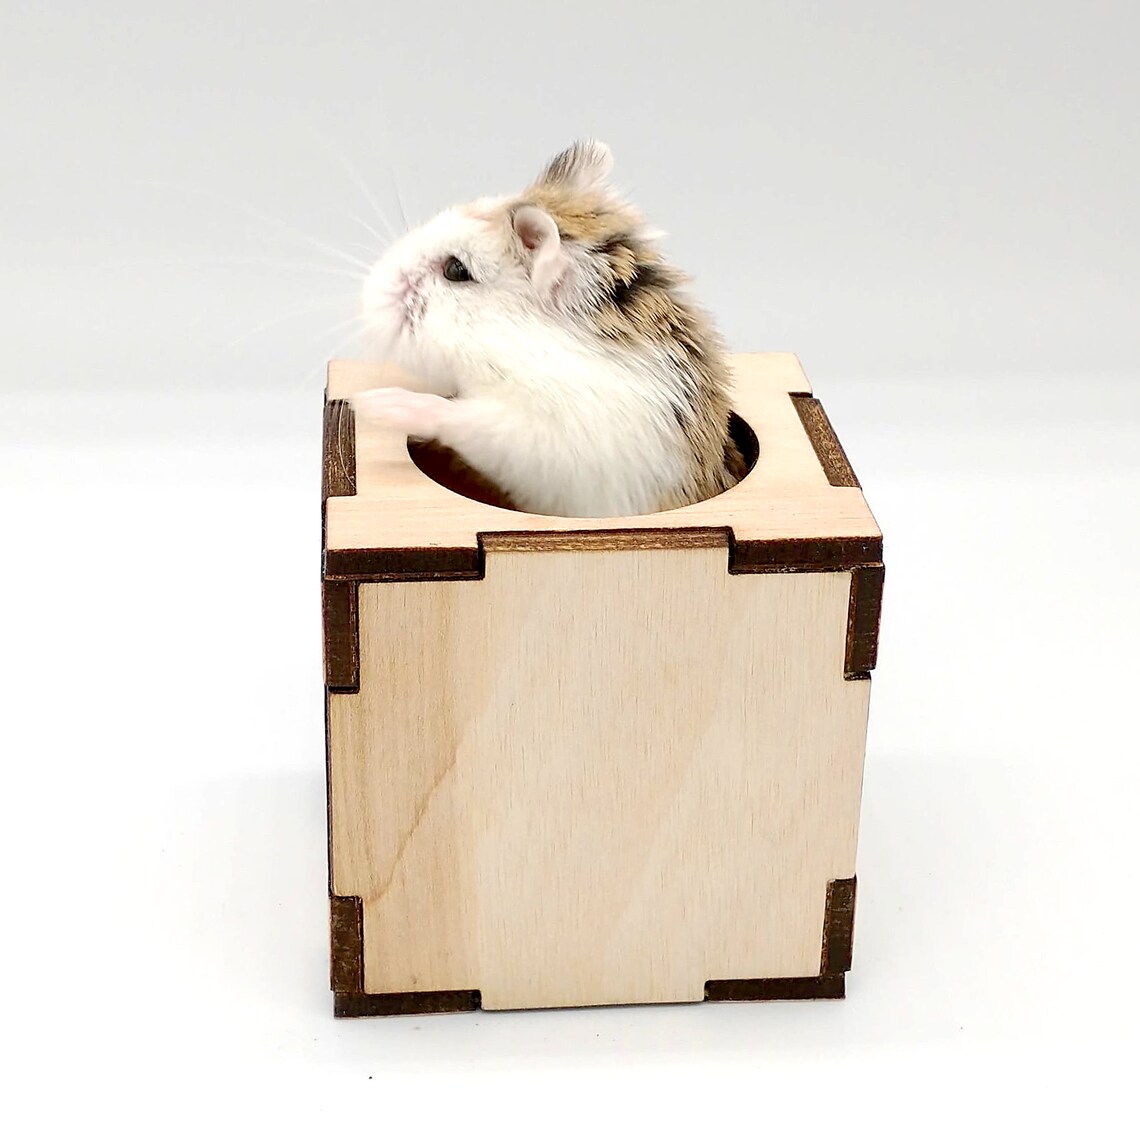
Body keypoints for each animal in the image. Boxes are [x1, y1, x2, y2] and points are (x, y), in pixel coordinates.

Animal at [353, 140, 747, 518]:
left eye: (456, 270)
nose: (368, 296)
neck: (532, 349)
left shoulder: (550, 438)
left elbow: (468, 419)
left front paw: (377, 404)